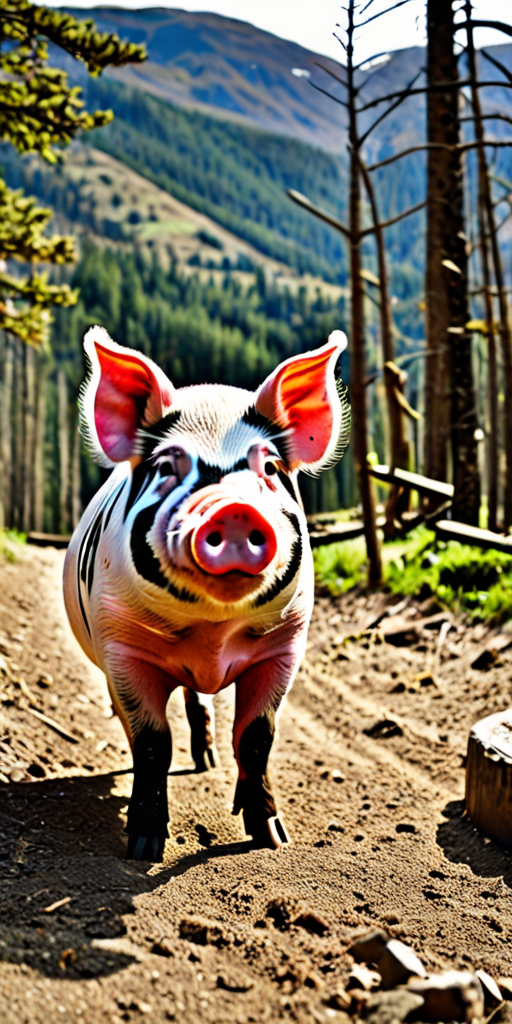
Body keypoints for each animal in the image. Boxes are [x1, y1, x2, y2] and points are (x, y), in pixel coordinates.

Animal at [63, 326, 351, 861]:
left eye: (271, 469)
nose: (233, 509)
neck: (211, 634)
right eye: (166, 468)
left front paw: (272, 837)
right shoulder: (122, 646)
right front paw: (144, 847)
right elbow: (152, 743)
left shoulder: (285, 645)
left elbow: (257, 737)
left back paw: (209, 762)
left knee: (200, 704)